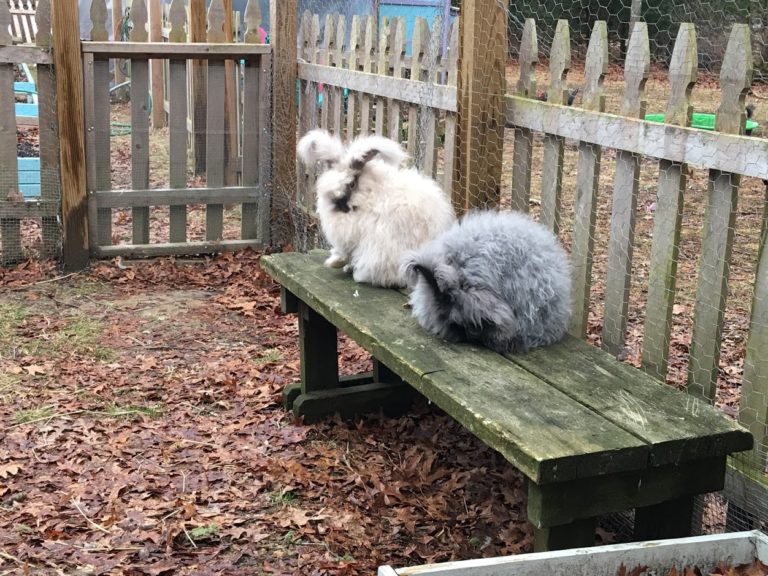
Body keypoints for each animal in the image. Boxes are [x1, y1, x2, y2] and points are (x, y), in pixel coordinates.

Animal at [296, 129, 456, 288]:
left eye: (352, 184)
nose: (340, 206)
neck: (368, 194)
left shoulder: (353, 236)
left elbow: (344, 252)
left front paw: (335, 263)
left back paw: (359, 274)